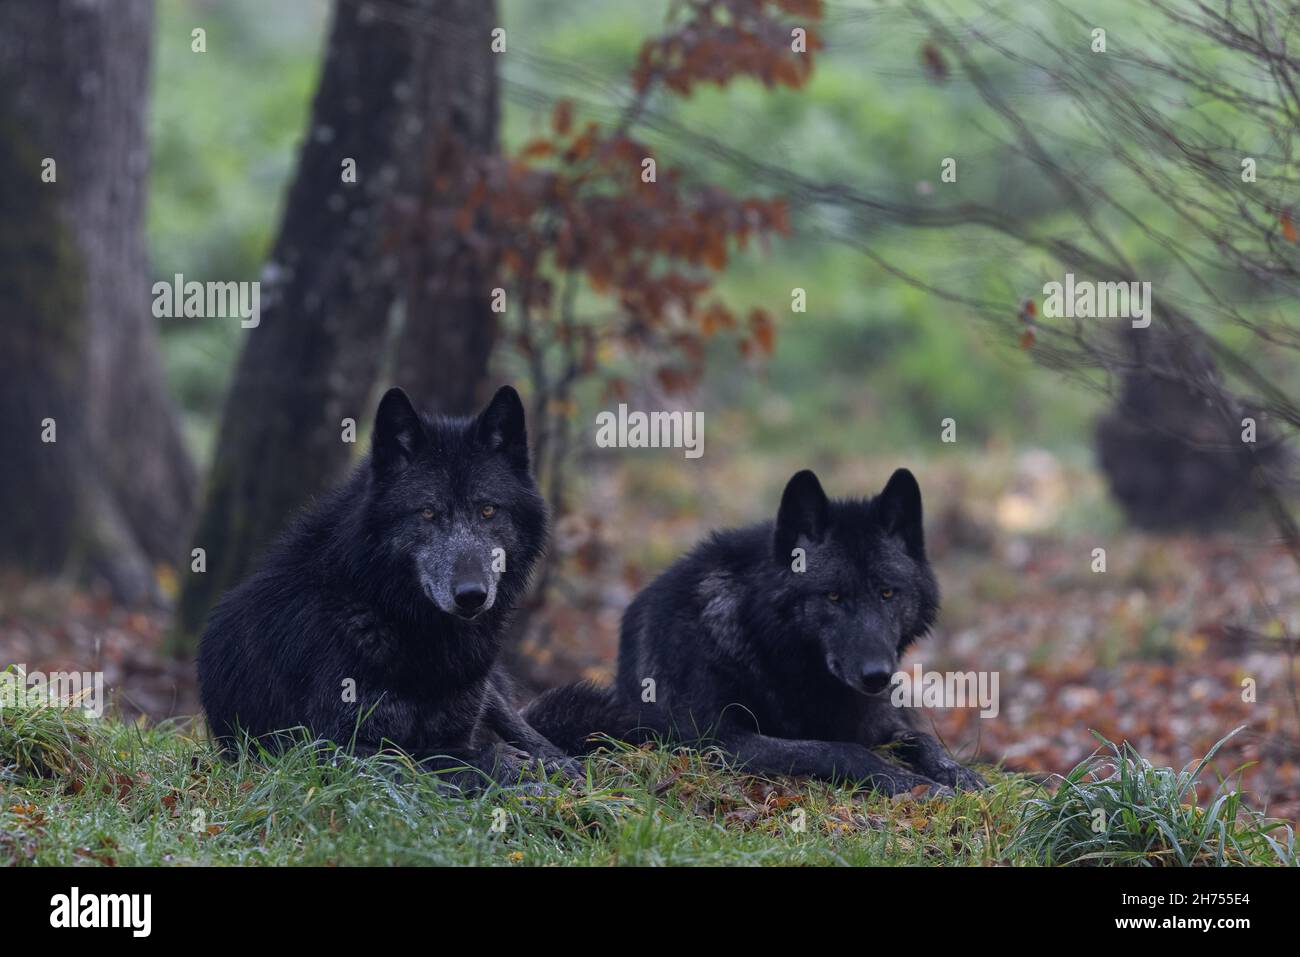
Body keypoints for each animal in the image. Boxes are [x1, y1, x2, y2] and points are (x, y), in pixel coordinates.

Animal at [198, 385, 575, 787]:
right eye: (428, 512)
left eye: (488, 510)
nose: (472, 595)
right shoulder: (327, 749)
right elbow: (435, 759)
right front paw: (504, 765)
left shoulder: (455, 729)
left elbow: (453, 751)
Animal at [524, 468, 986, 795]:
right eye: (833, 596)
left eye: (887, 592)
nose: (876, 675)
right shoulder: (715, 739)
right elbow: (837, 749)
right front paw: (910, 783)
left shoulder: (881, 719)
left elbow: (921, 738)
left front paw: (959, 774)